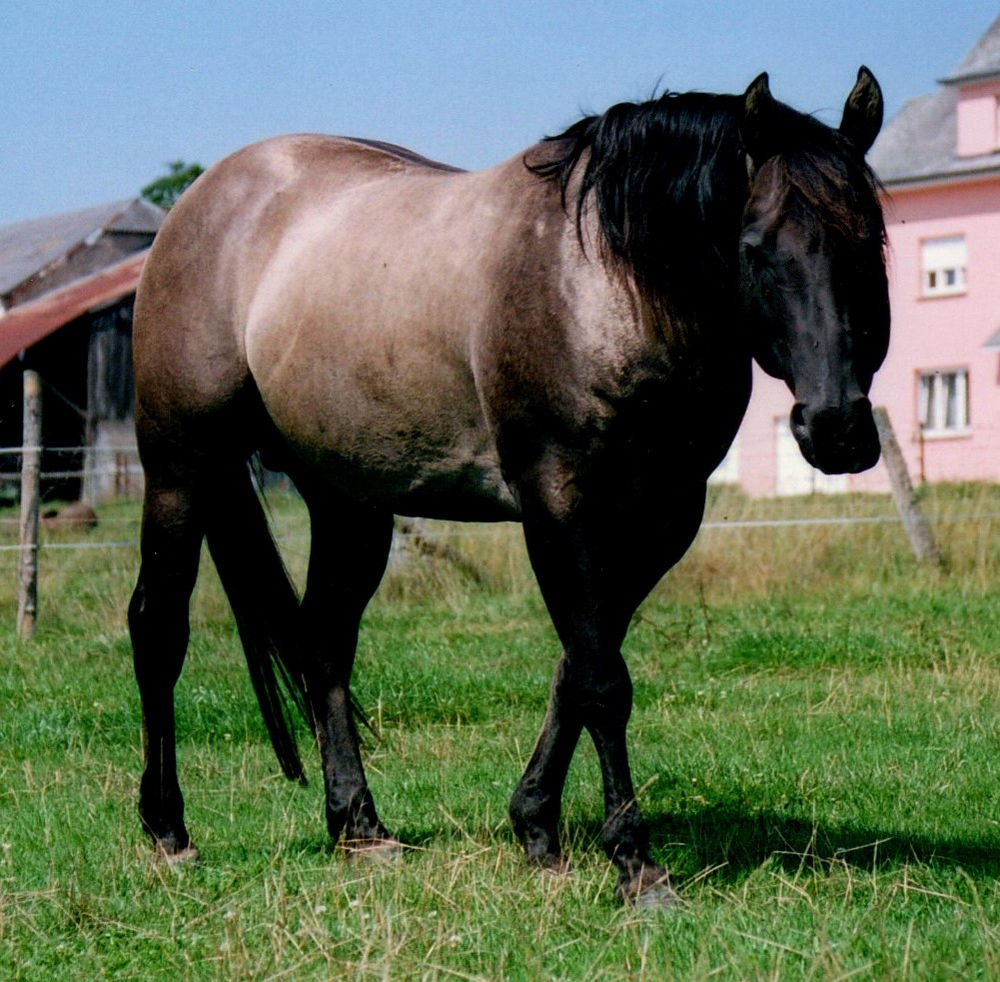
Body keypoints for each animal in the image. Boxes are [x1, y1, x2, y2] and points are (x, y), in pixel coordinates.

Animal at [128, 68, 889, 906]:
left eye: (871, 241)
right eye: (754, 247)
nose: (837, 427)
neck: (603, 281)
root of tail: (201, 203)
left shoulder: (662, 517)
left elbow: (579, 668)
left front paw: (536, 826)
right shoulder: (559, 505)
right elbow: (602, 680)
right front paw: (635, 864)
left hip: (348, 502)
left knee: (325, 644)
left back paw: (359, 828)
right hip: (181, 466)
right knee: (158, 629)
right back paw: (168, 831)